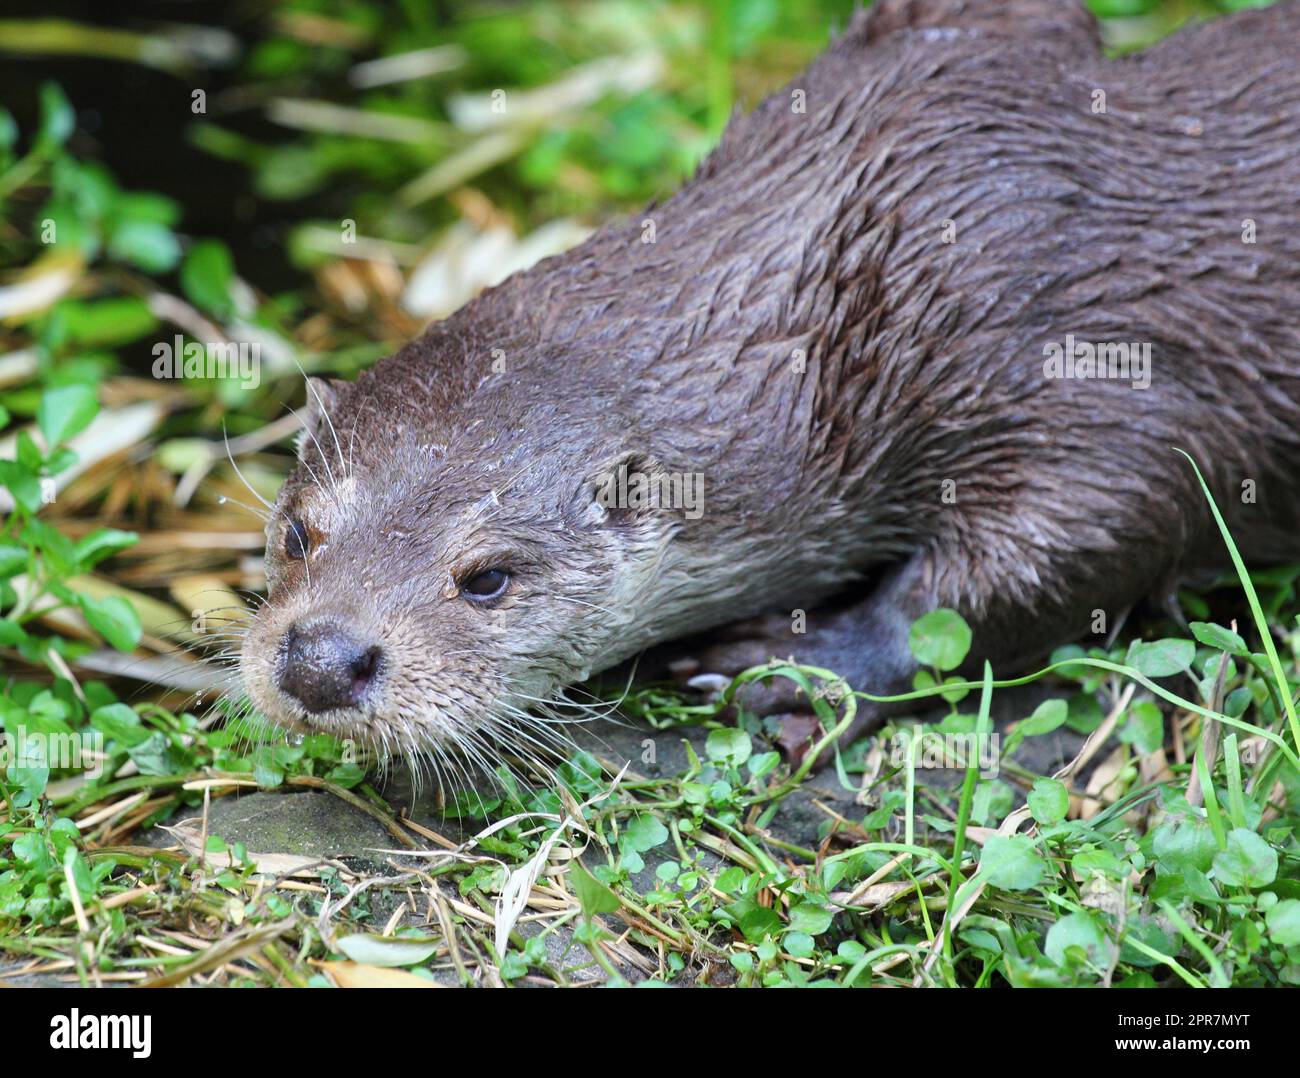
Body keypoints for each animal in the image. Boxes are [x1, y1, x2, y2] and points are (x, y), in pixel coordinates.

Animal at [240, 0, 1300, 772]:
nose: (322, 661)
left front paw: (803, 663)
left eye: (487, 578)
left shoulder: (1067, 363)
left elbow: (1085, 531)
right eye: (296, 535)